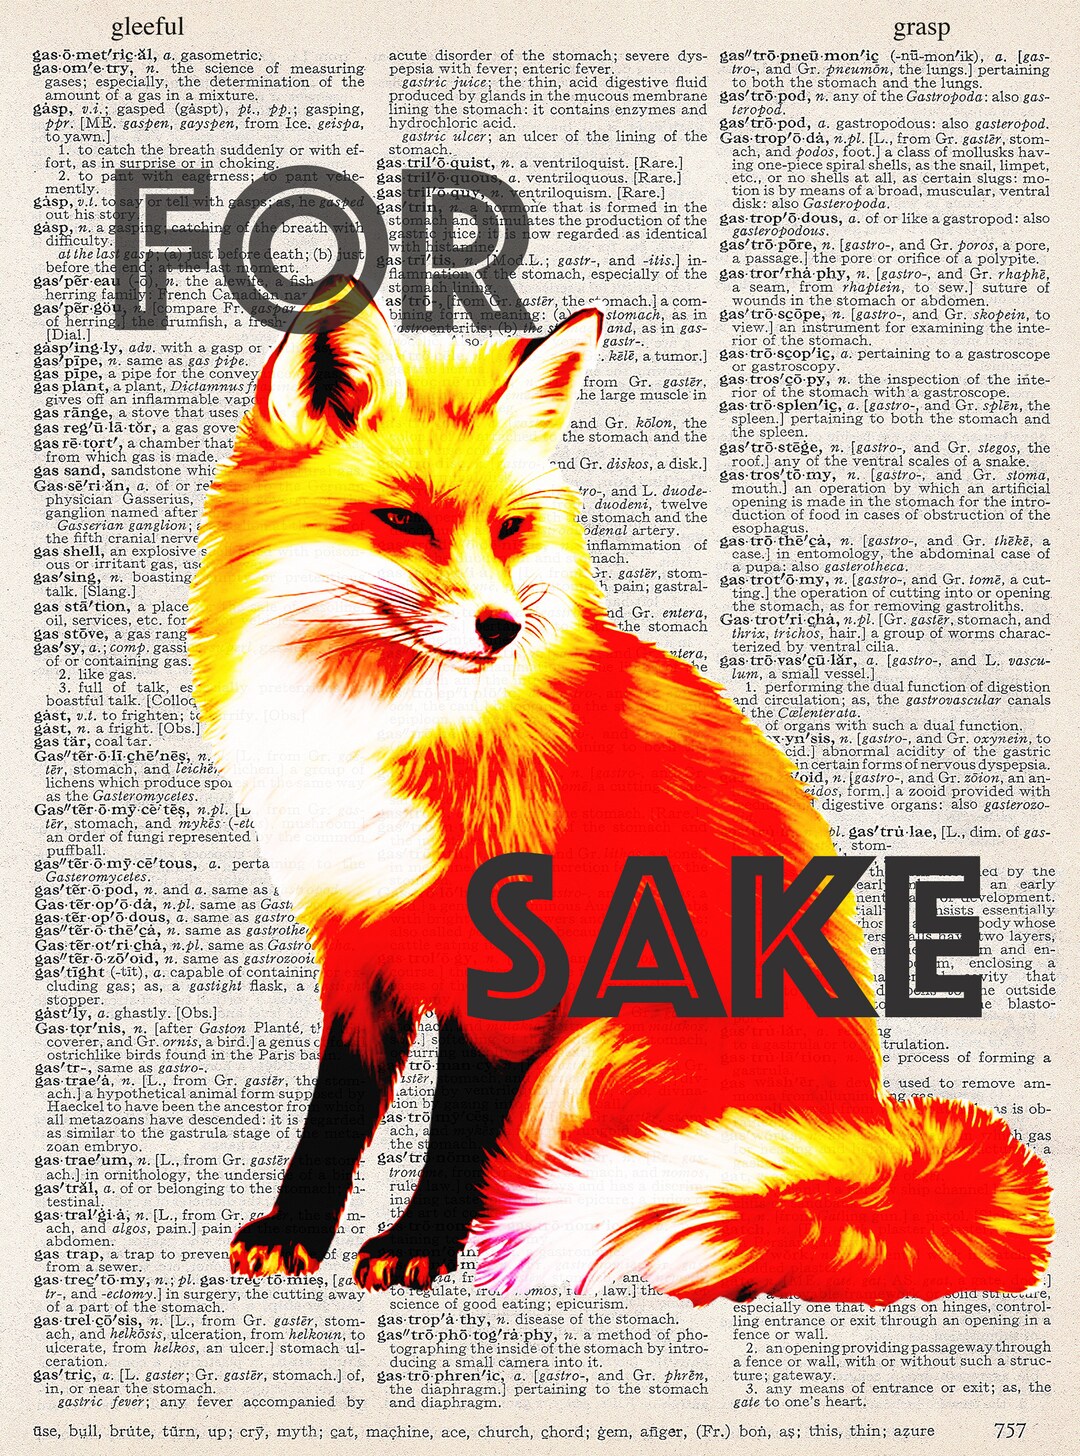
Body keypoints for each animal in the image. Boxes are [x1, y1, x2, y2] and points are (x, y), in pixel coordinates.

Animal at [188, 276, 1051, 1306]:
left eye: (510, 528)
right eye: (404, 521)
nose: (502, 627)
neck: (391, 725)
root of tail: (862, 1123)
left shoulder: (514, 962)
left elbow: (457, 1129)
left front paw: (424, 1242)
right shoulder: (360, 936)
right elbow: (337, 1107)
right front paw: (296, 1230)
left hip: (593, 1048)